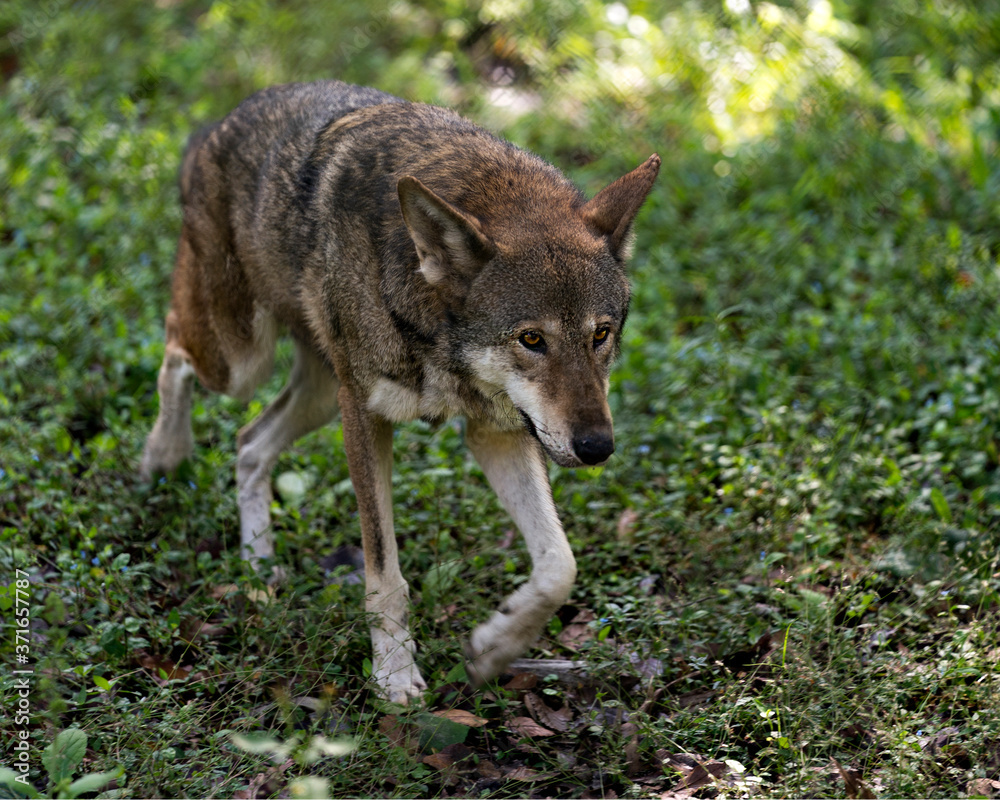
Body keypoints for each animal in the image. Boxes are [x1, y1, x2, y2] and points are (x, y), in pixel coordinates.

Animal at [140, 80, 659, 703]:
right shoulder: (365, 418)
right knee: (174, 350)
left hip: (317, 394)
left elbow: (560, 566)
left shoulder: (499, 432)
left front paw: (494, 647)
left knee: (248, 443)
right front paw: (394, 676)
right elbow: (384, 572)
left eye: (600, 334)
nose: (597, 447)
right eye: (532, 339)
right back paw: (163, 454)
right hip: (245, 361)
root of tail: (216, 125)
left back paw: (259, 571)